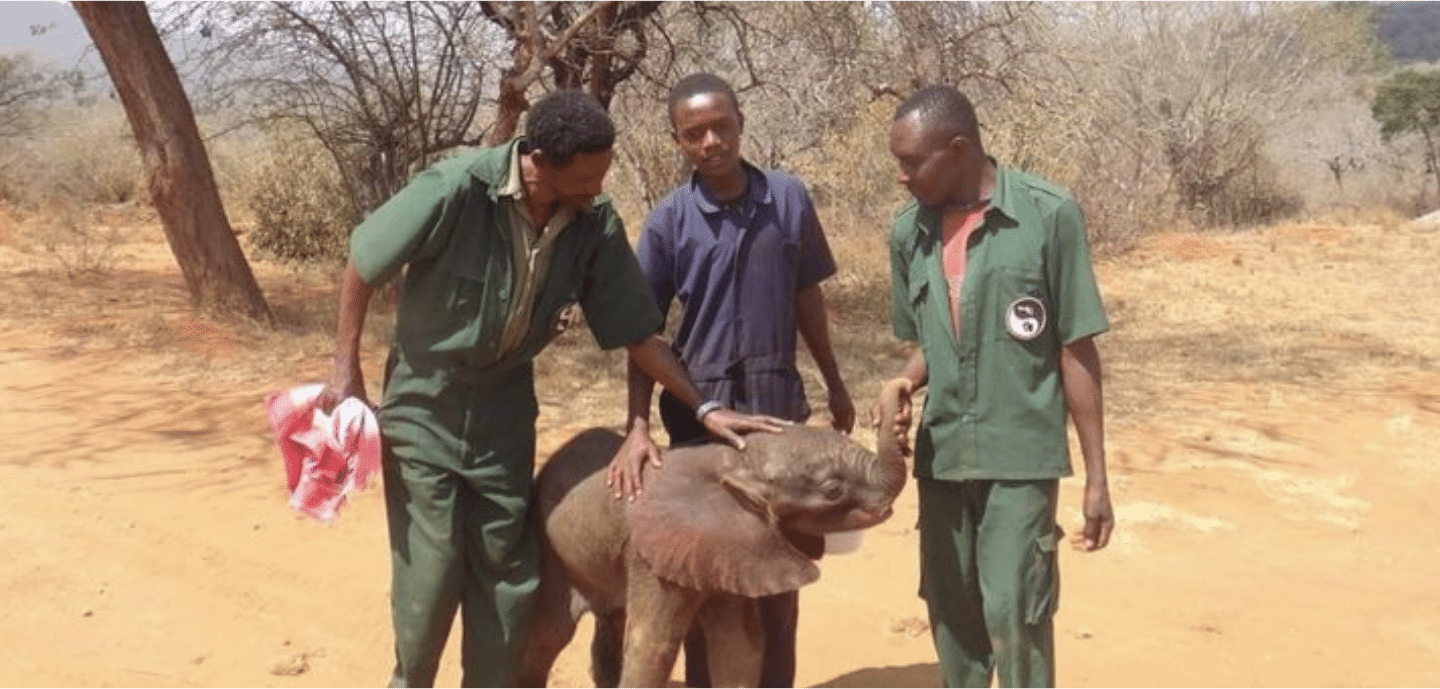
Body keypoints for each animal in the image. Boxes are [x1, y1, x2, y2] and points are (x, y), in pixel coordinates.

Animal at [517, 379, 910, 687]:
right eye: (832, 489)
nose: (903, 390)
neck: (733, 462)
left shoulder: (736, 549)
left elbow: (741, 648)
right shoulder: (652, 559)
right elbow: (652, 649)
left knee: (608, 622)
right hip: (551, 549)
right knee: (547, 635)